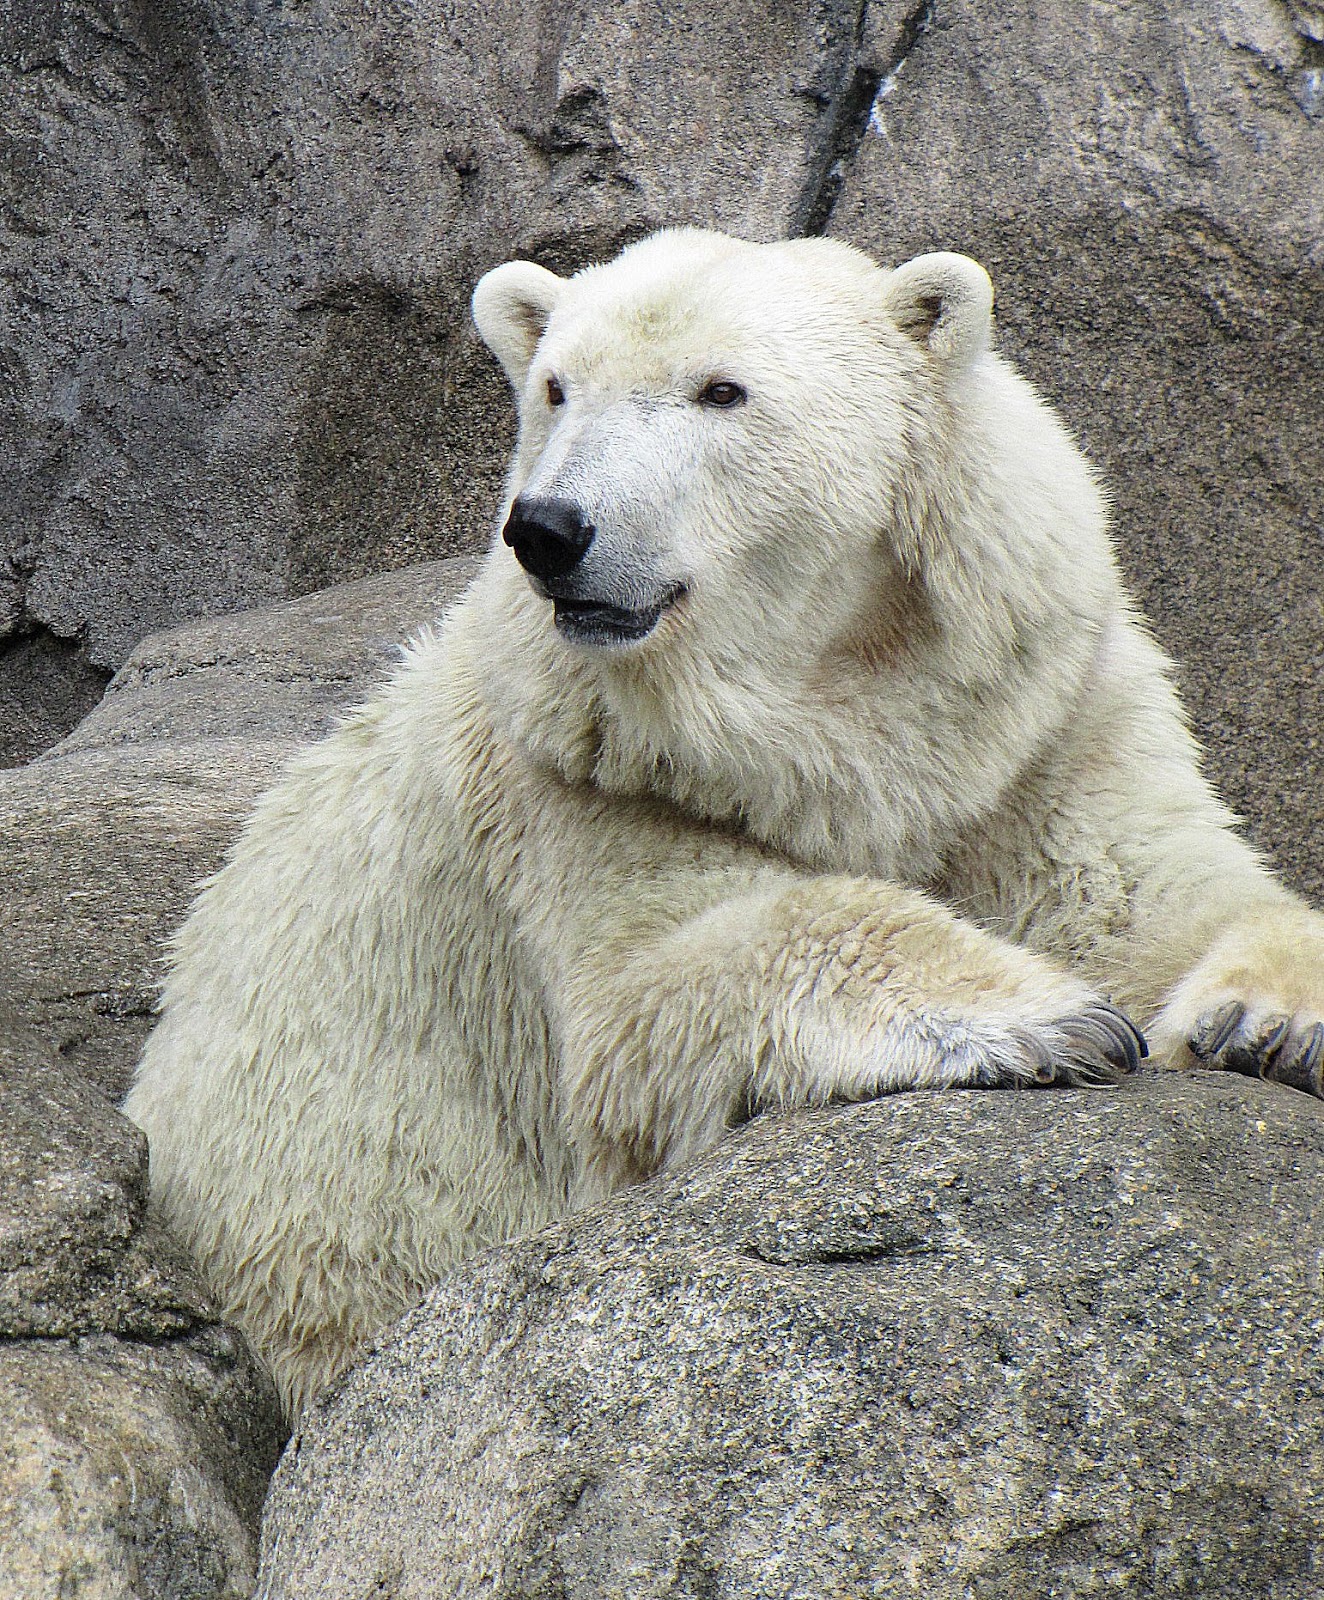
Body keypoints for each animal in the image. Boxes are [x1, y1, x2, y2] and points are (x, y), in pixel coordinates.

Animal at [124, 228, 1324, 1424]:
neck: (827, 690)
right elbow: (662, 982)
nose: (549, 529)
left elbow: (1140, 887)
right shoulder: (581, 778)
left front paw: (1265, 1022)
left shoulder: (1034, 714)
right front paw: (1052, 1018)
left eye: (721, 391)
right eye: (556, 388)